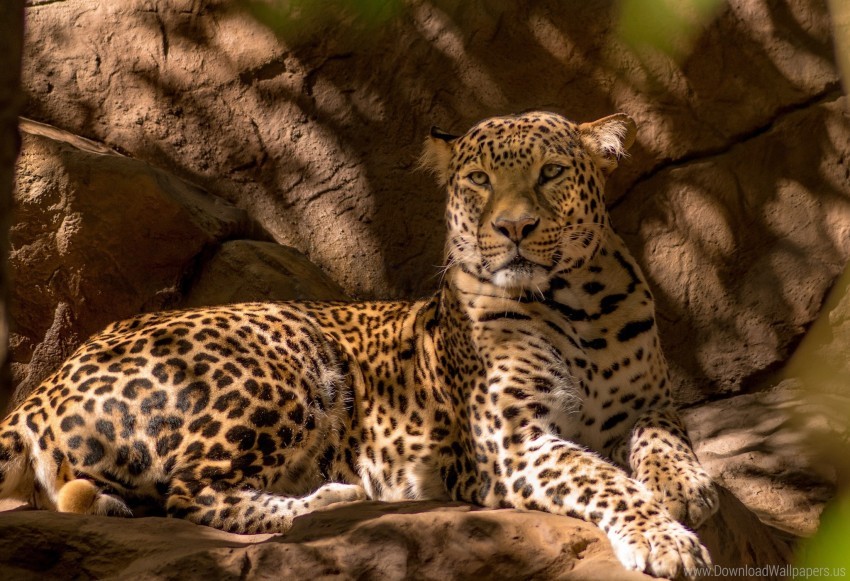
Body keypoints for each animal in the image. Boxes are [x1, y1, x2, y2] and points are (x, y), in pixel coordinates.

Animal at [0, 111, 718, 578]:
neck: (578, 305)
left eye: (551, 173)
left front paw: (689, 488)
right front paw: (666, 538)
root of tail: (46, 384)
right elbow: (601, 478)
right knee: (190, 494)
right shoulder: (513, 444)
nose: (513, 228)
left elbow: (663, 439)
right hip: (284, 354)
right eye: (479, 181)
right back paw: (337, 498)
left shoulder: (650, 402)